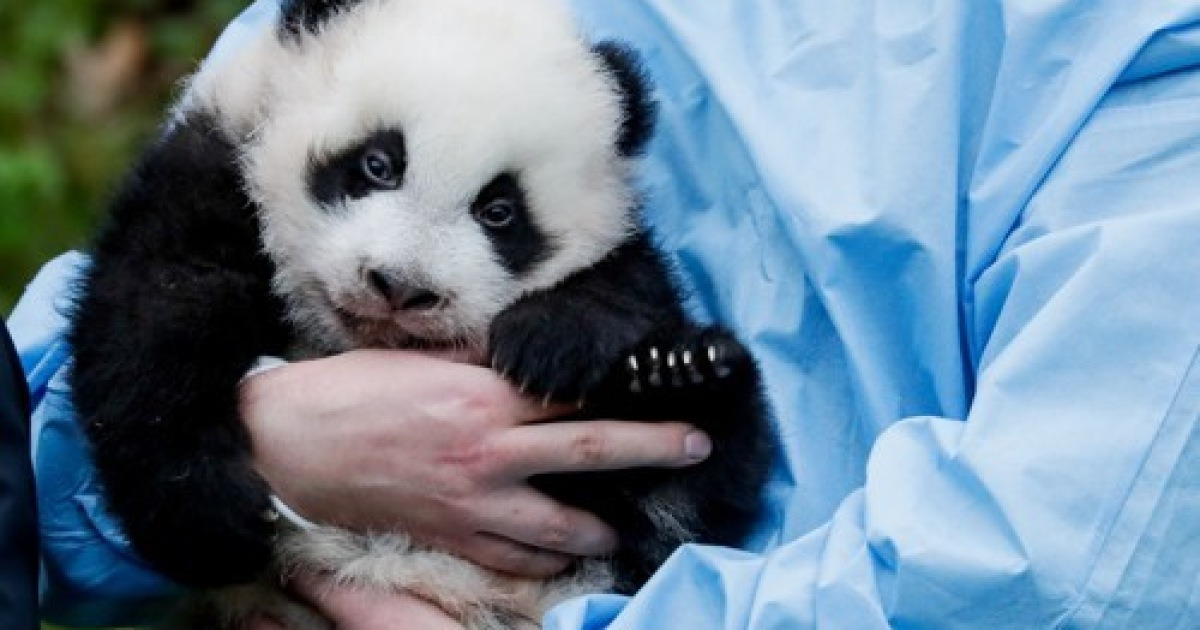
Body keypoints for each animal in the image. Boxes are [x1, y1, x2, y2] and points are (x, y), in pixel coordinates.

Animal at [68, 0, 774, 628]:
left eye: (499, 211)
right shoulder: (216, 162)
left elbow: (626, 280)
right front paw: (201, 509)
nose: (400, 287)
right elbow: (160, 307)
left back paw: (681, 372)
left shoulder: (618, 245)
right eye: (378, 163)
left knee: (698, 492)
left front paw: (557, 338)